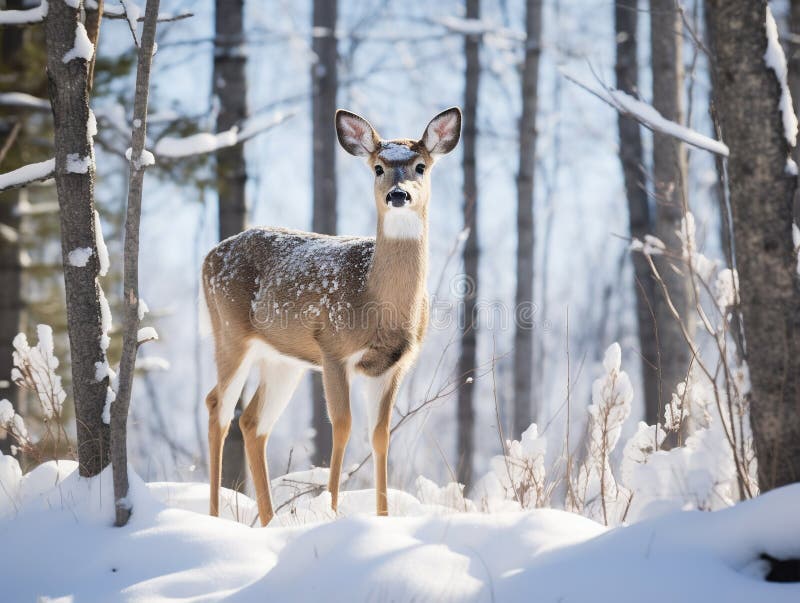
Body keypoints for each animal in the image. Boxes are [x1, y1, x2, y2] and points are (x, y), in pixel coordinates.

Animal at [201, 107, 461, 526]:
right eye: (378, 167)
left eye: (421, 166)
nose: (398, 194)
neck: (376, 303)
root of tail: (209, 256)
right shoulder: (333, 349)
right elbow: (342, 427)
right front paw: (332, 509)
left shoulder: (393, 365)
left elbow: (380, 435)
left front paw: (383, 516)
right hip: (229, 333)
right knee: (218, 407)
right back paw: (213, 516)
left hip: (283, 359)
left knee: (252, 422)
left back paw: (270, 520)